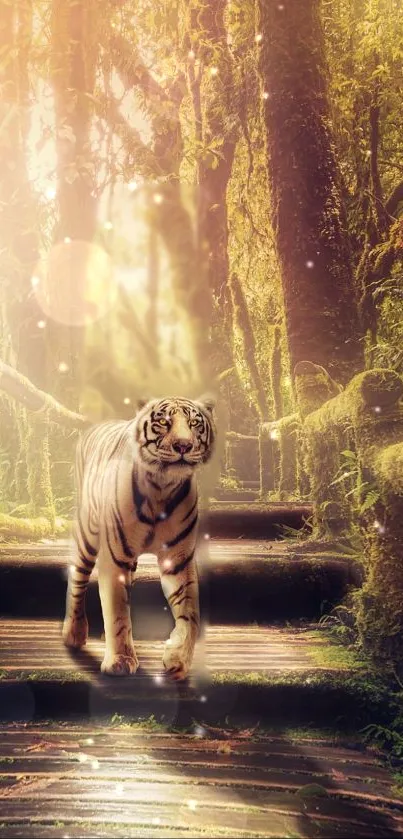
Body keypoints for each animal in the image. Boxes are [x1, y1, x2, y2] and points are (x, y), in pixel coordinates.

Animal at [62, 395, 216, 680]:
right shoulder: (114, 558)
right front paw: (120, 661)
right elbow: (117, 611)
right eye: (164, 422)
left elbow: (190, 613)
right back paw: (73, 634)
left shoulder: (179, 560)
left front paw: (178, 659)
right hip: (87, 536)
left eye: (194, 423)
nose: (183, 445)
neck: (162, 488)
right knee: (77, 578)